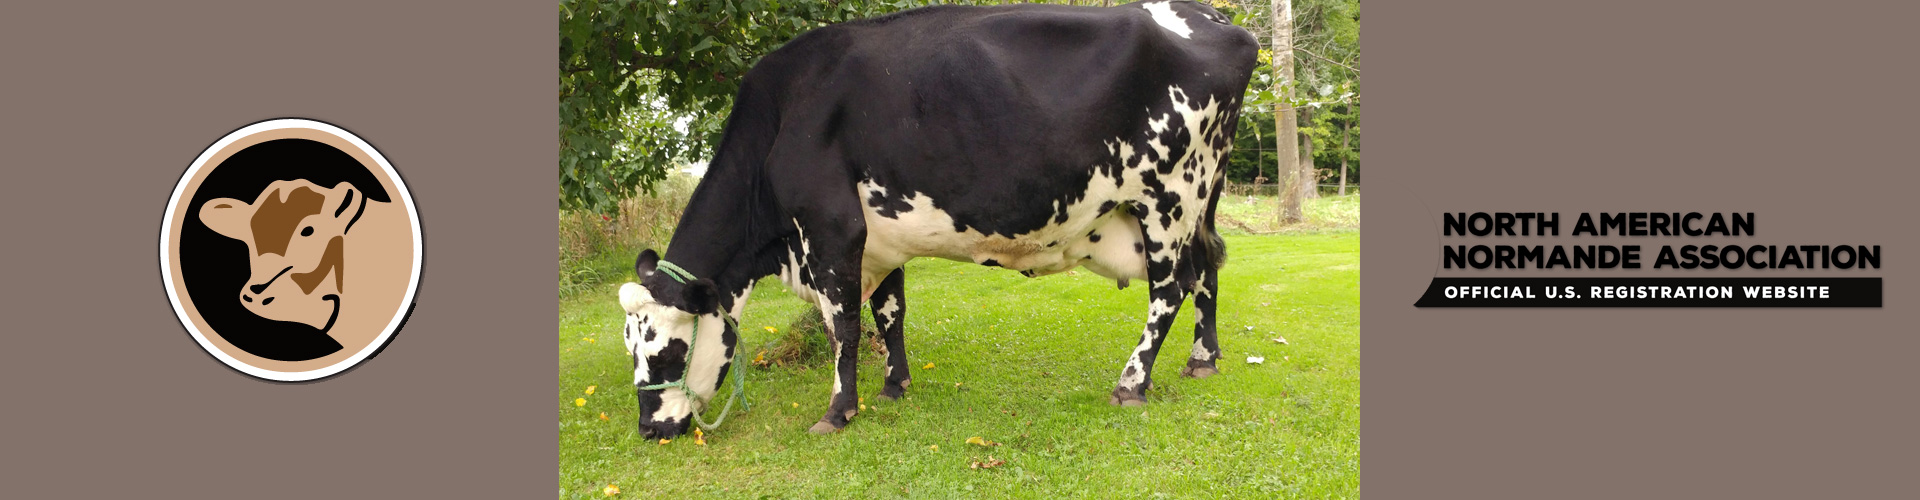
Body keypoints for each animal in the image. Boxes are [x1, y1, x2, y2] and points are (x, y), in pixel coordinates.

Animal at [618, 0, 1257, 438]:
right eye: (630, 349)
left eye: (667, 352)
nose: (650, 429)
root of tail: (1211, 16)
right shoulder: (879, 240)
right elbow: (889, 313)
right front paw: (894, 385)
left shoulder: (831, 228)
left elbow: (843, 328)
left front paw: (837, 412)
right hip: (1201, 199)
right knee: (1208, 268)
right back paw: (1203, 361)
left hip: (1168, 196)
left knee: (1170, 289)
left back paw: (1132, 384)